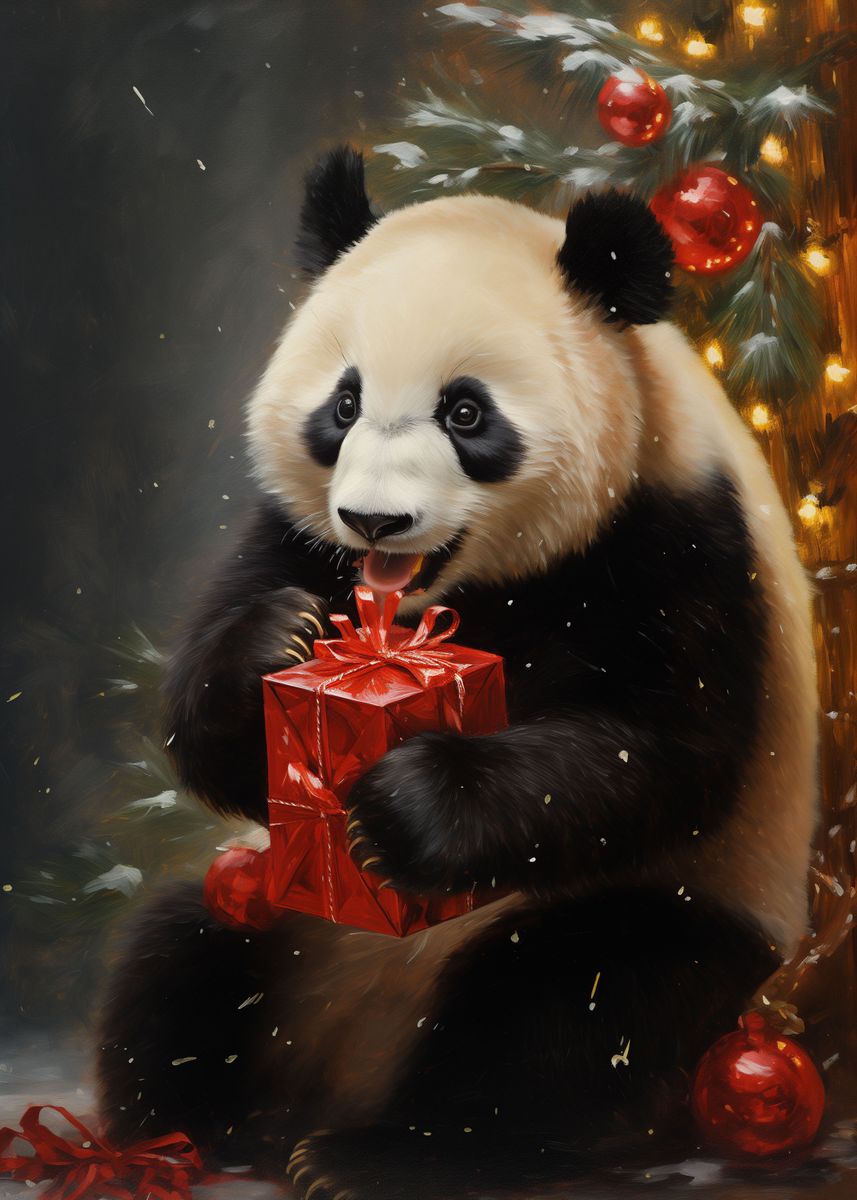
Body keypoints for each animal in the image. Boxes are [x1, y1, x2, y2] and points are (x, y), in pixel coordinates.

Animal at [97, 146, 818, 1197]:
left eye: (466, 411)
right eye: (343, 403)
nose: (374, 522)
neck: (460, 589)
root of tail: (335, 1073)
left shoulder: (679, 536)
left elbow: (660, 749)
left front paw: (407, 804)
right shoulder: (292, 533)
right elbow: (213, 739)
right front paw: (275, 641)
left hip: (690, 914)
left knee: (566, 1004)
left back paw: (383, 1153)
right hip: (275, 909)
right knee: (181, 950)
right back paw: (171, 1131)